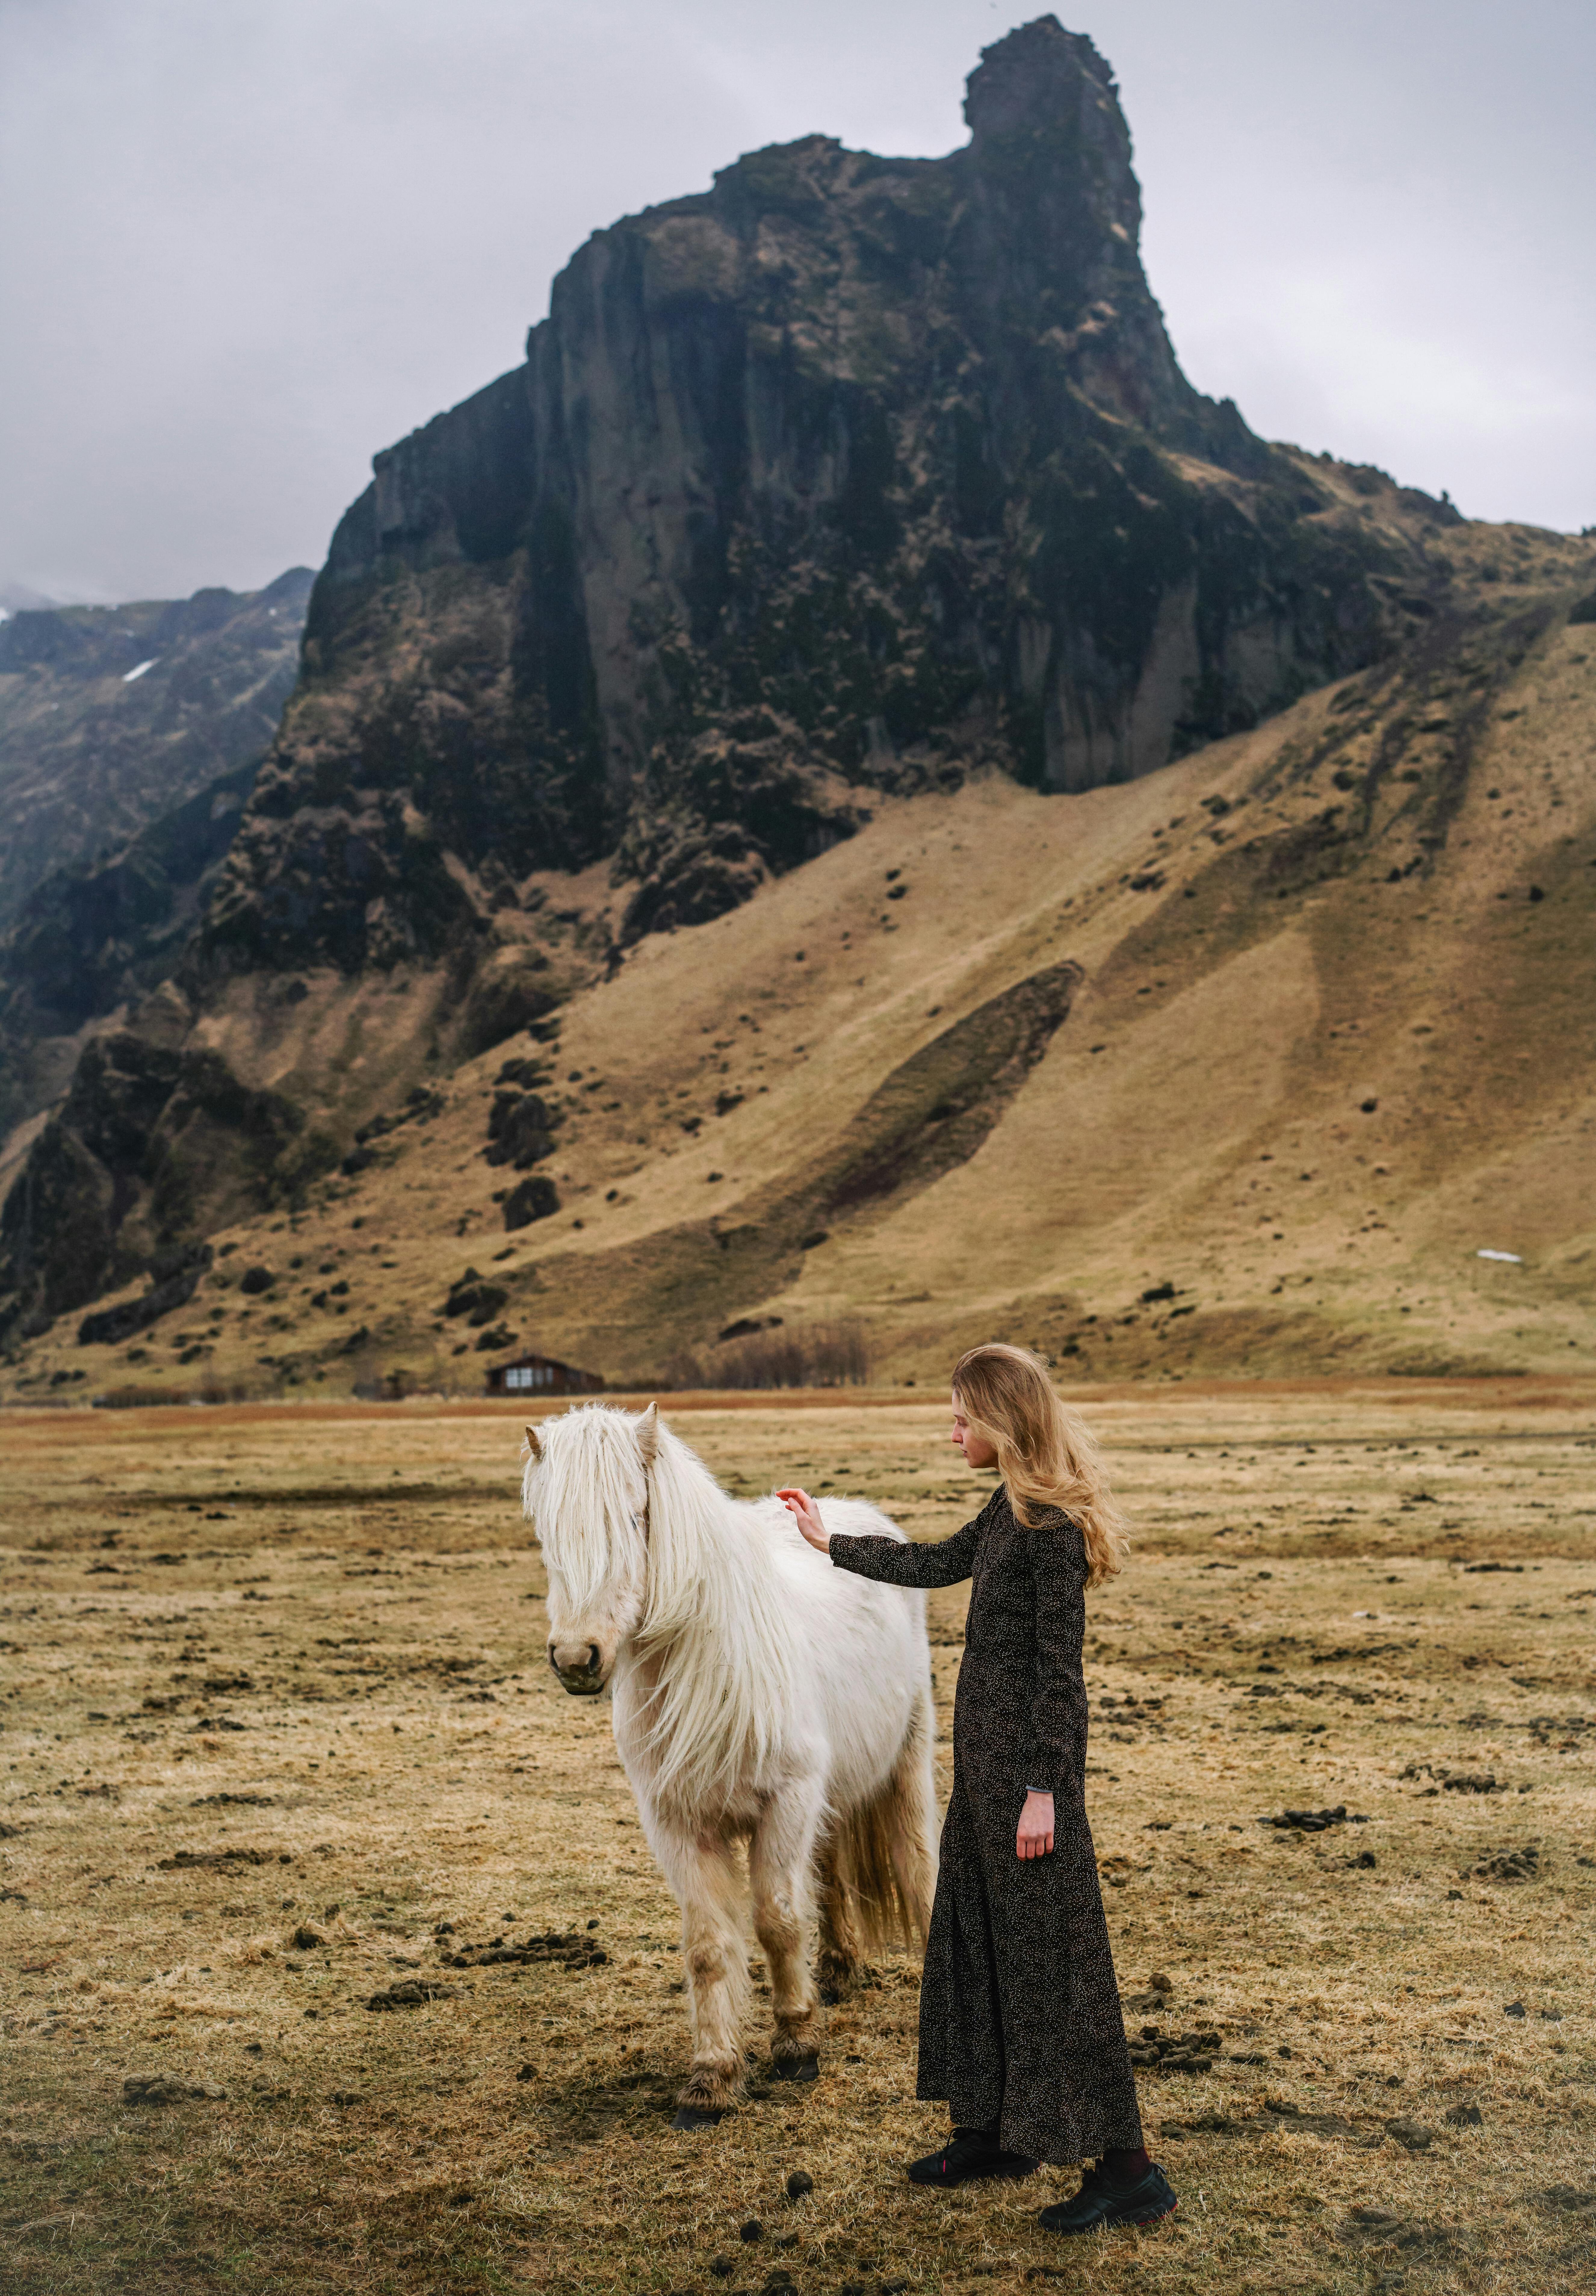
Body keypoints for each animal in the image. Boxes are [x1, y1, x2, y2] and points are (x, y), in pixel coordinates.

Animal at [522, 1401, 938, 2127]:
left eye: (634, 1517)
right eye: (546, 1533)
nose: (576, 1658)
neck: (706, 1665)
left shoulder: (787, 1800)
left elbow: (776, 1920)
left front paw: (797, 2045)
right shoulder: (676, 1821)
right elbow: (710, 1946)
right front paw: (712, 2077)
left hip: (907, 1761)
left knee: (916, 1860)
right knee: (829, 1875)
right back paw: (839, 1968)